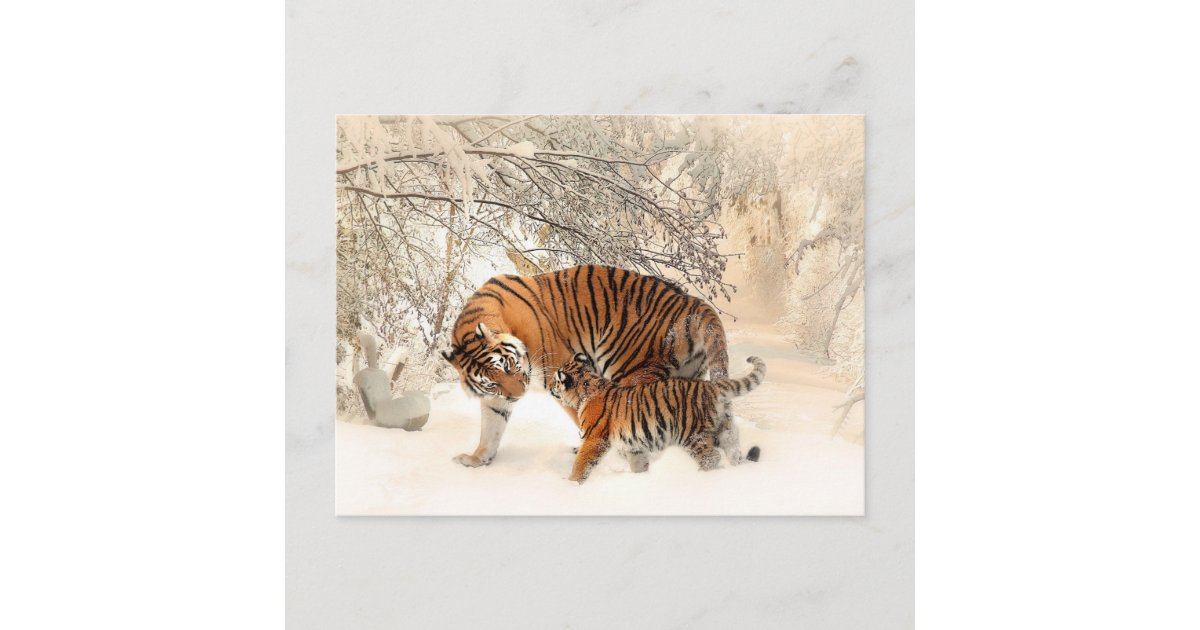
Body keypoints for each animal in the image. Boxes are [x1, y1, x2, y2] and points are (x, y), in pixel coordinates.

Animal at [441, 265, 729, 468]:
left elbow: (582, 417)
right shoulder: (496, 398)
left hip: (631, 371)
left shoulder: (560, 373)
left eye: (510, 366)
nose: (518, 396)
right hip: (686, 377)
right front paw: (477, 459)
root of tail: (692, 302)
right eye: (492, 382)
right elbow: (491, 427)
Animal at [549, 353, 765, 483]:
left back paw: (698, 477)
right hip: (725, 430)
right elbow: (639, 463)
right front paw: (641, 479)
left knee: (711, 457)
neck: (586, 389)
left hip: (691, 435)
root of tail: (711, 386)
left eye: (554, 380)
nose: (549, 387)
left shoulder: (594, 439)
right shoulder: (634, 445)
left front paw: (571, 484)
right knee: (733, 452)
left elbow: (581, 463)